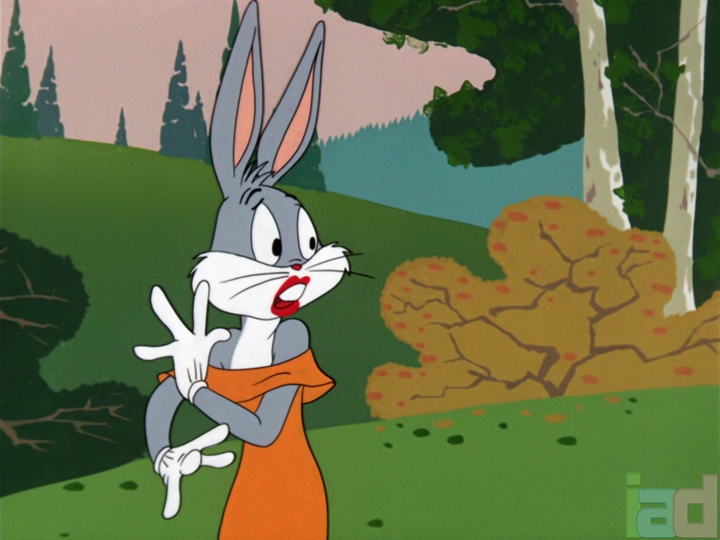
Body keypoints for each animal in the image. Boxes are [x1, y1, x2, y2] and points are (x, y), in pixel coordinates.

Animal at [135, 3, 347, 538]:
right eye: (272, 246)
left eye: (309, 241)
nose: (299, 265)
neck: (258, 331)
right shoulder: (225, 346)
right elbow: (166, 395)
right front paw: (175, 461)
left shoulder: (296, 342)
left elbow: (261, 427)